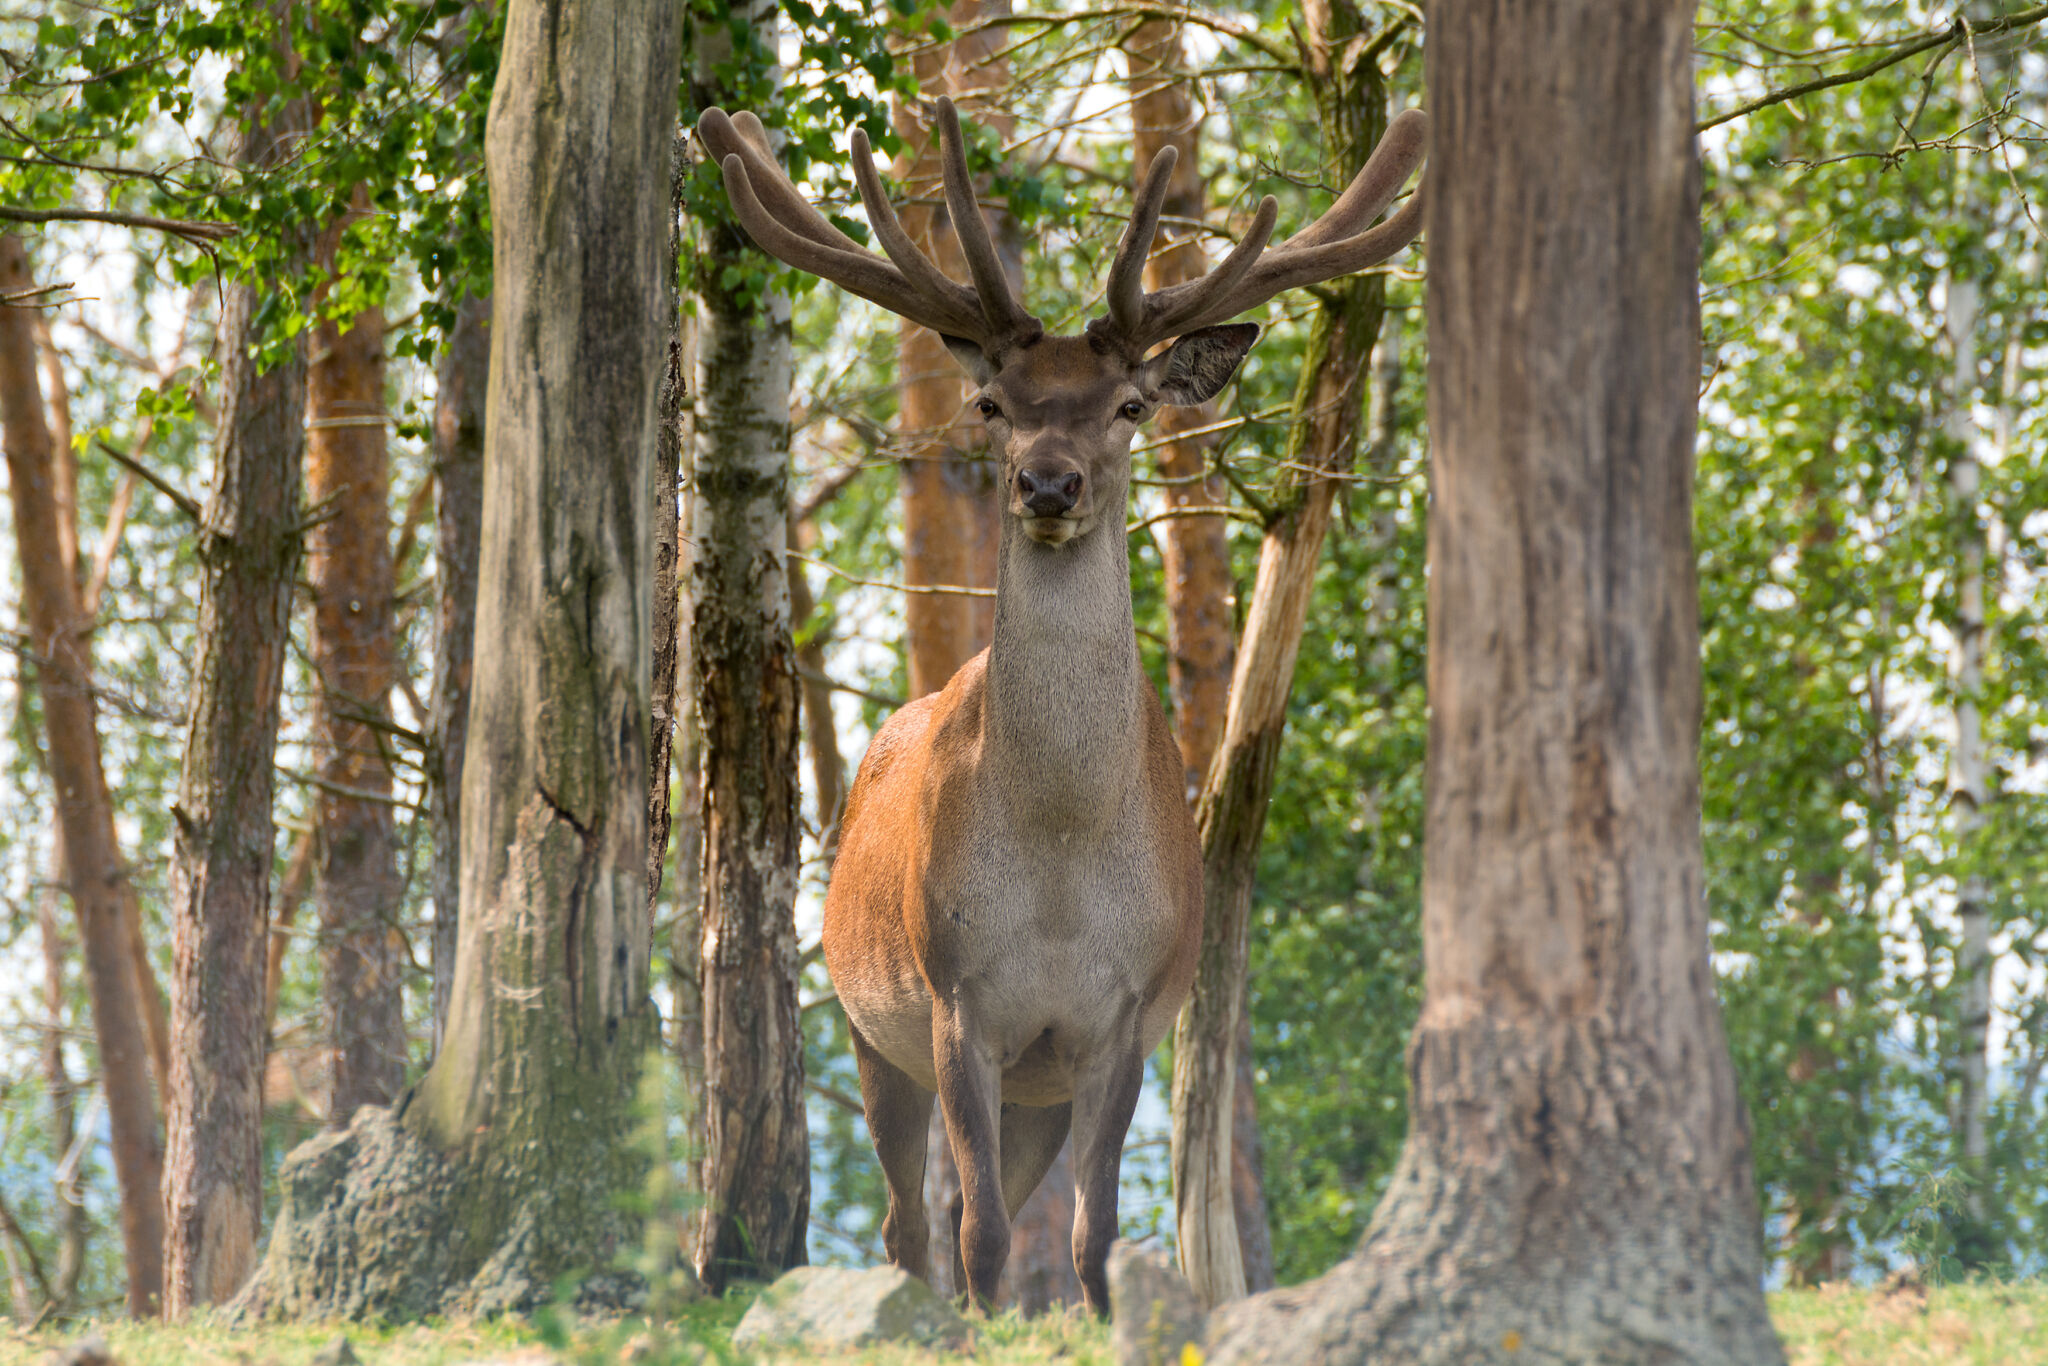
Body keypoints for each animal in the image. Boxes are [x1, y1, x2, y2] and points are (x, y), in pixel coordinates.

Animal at [696, 97, 1426, 1315]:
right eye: (992, 402)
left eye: (1129, 404)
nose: (1048, 482)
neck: (1056, 859)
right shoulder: (957, 1001)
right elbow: (985, 1232)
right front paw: (985, 1319)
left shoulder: (1121, 1017)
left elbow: (1090, 1238)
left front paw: (1098, 1314)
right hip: (868, 1024)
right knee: (907, 1221)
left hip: (1031, 1087)